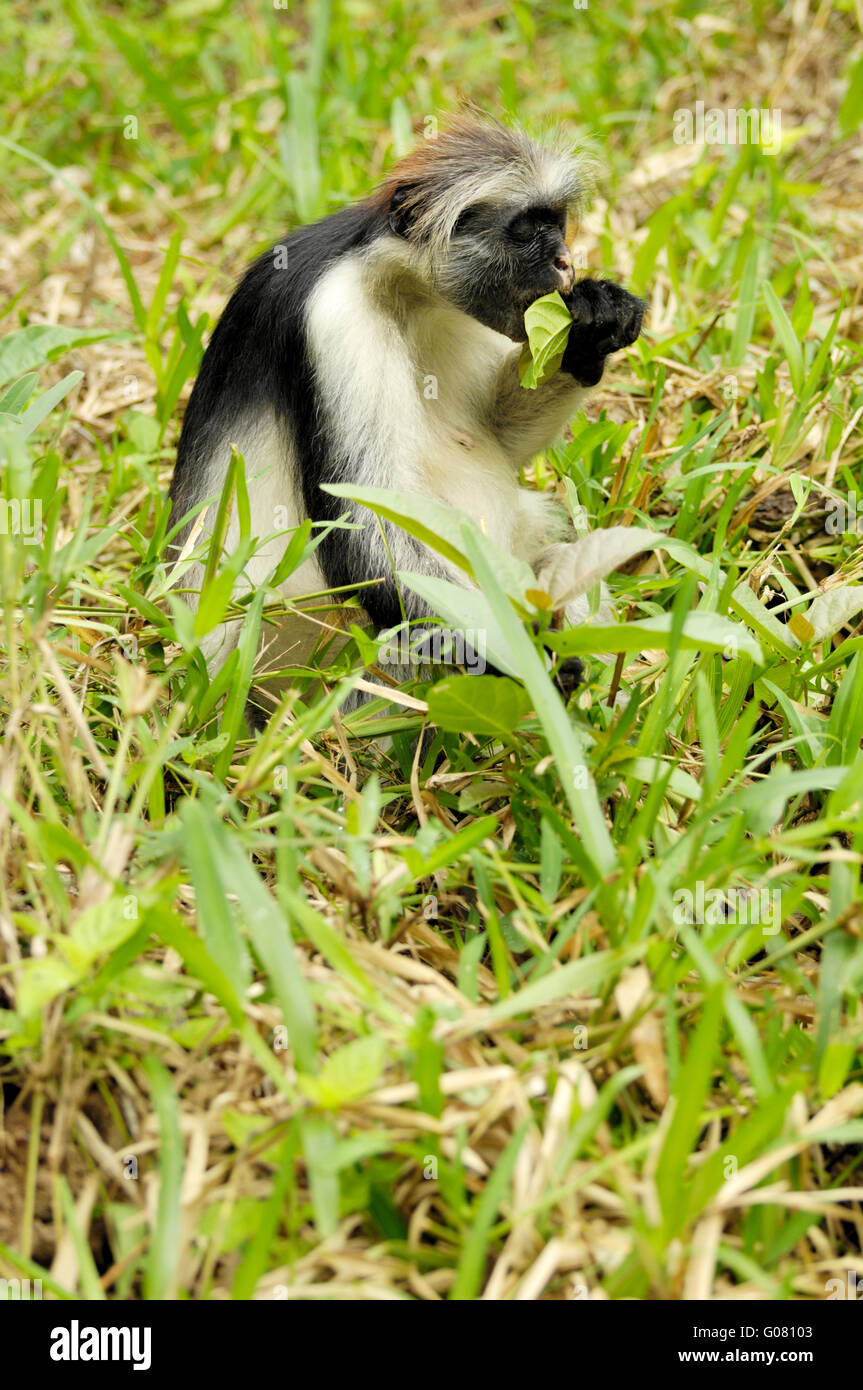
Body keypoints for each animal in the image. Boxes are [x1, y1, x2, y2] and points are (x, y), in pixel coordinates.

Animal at [167, 114, 644, 720]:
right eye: (526, 231)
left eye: (556, 224)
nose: (565, 261)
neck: (399, 285)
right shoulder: (333, 312)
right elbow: (368, 538)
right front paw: (531, 663)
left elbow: (498, 437)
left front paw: (590, 330)